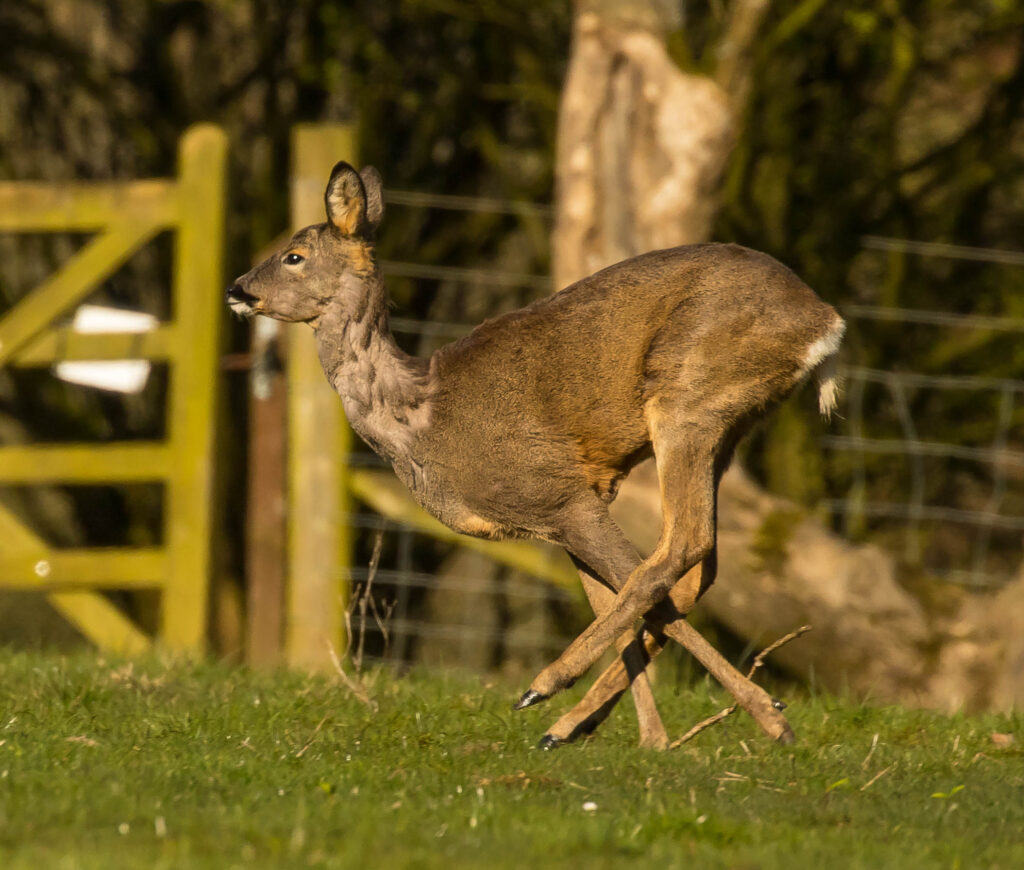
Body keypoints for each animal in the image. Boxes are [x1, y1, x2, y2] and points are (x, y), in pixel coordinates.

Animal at [227, 161, 845, 750]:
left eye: (294, 255)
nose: (236, 288)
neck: (421, 416)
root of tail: (826, 325)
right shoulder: (564, 511)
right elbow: (614, 602)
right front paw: (648, 738)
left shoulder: (556, 491)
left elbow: (637, 589)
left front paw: (767, 718)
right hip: (728, 427)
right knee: (698, 563)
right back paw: (571, 721)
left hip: (688, 398)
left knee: (683, 545)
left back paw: (547, 688)